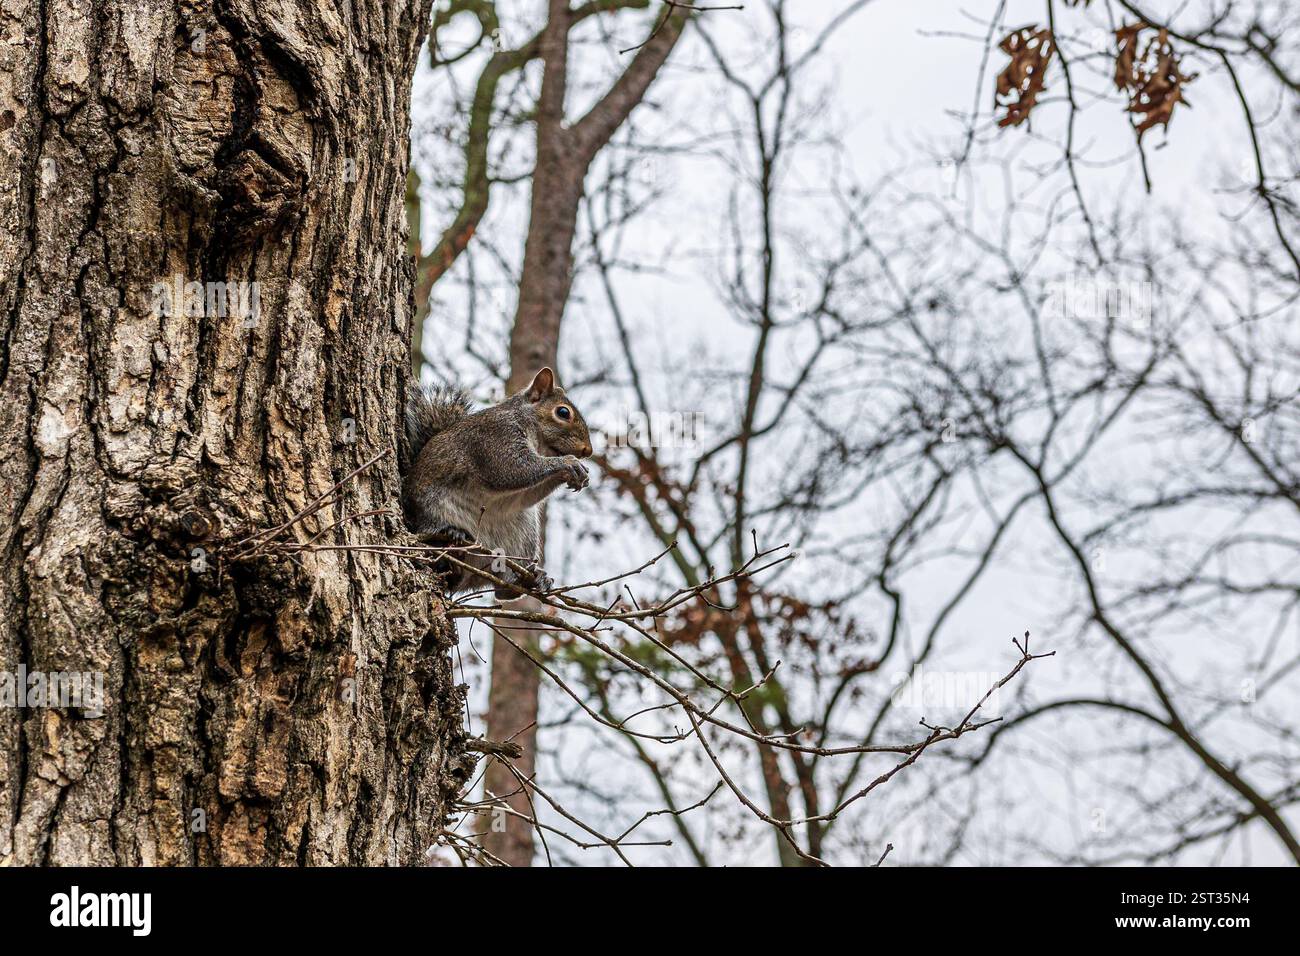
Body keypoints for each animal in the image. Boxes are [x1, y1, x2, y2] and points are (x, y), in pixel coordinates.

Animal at [401, 367, 593, 598]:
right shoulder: (496, 437)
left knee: (502, 590)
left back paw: (527, 580)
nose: (588, 451)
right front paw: (568, 463)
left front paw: (577, 475)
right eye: (563, 412)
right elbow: (513, 470)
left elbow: (527, 493)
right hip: (431, 511)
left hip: (523, 537)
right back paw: (450, 535)